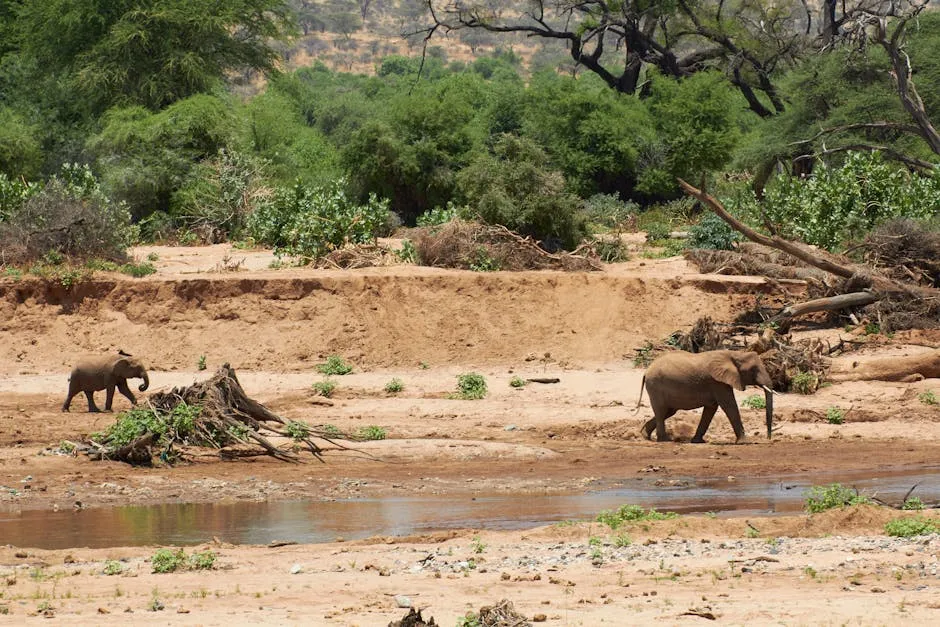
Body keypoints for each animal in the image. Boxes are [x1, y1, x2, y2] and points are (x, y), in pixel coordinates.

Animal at [636, 350, 775, 444]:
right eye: (754, 370)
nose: (768, 438)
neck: (734, 354)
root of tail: (646, 371)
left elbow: (711, 409)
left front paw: (697, 441)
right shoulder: (717, 382)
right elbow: (729, 405)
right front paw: (744, 442)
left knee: (668, 411)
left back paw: (644, 435)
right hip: (655, 386)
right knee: (661, 411)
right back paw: (665, 440)